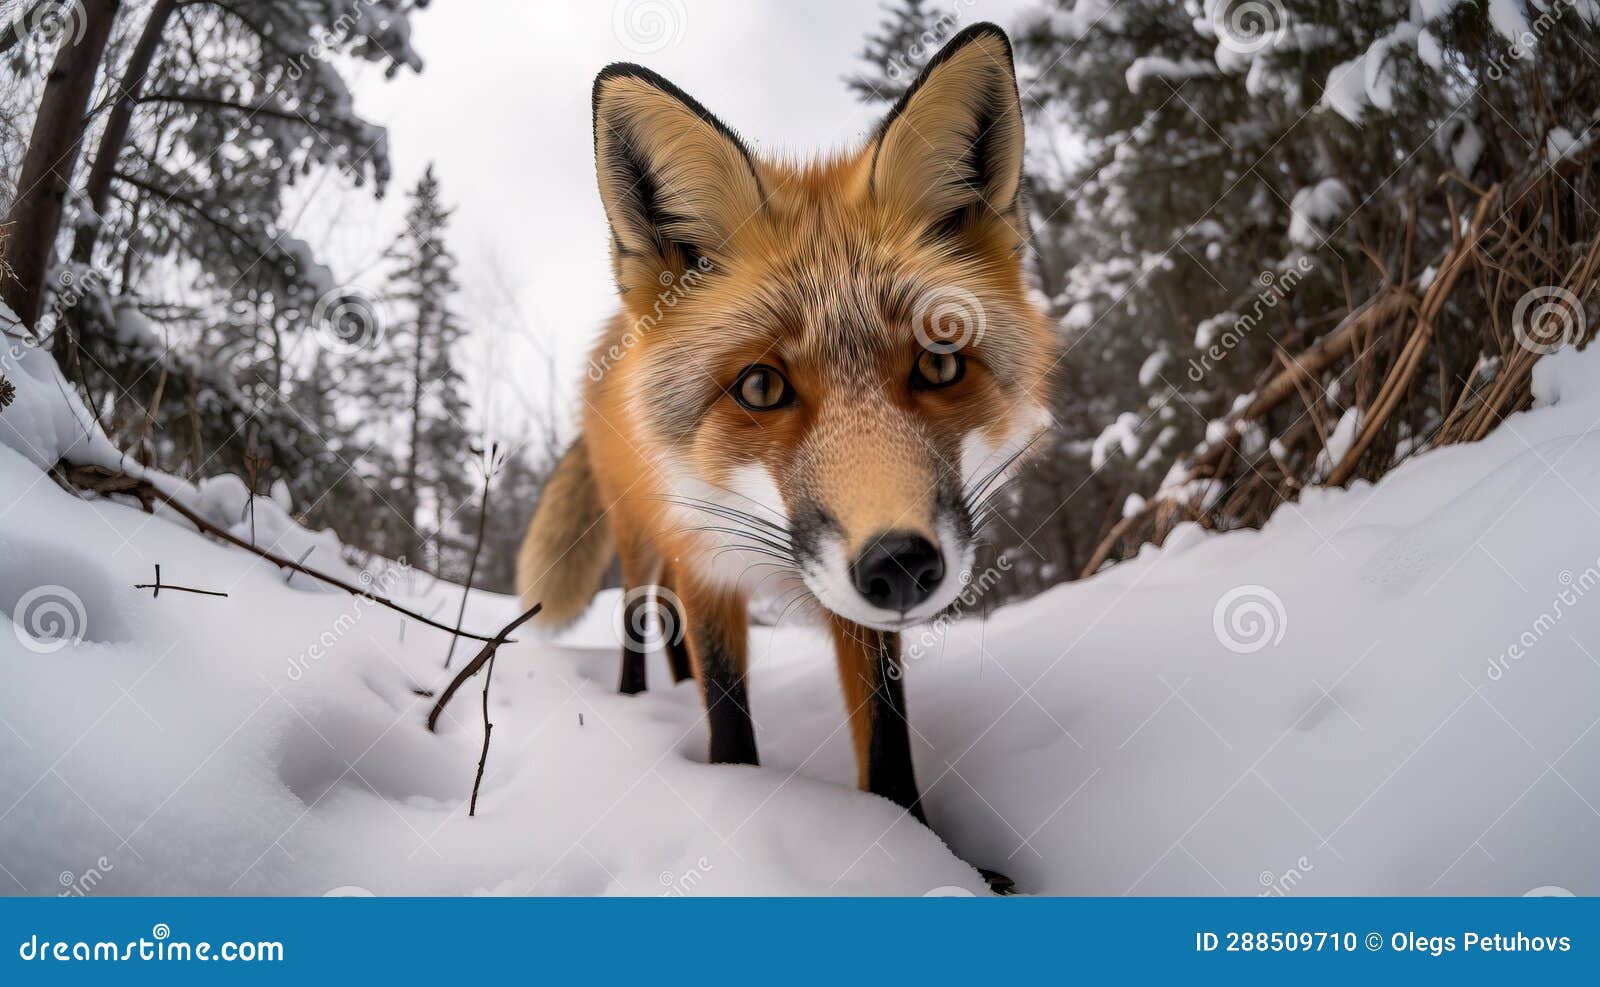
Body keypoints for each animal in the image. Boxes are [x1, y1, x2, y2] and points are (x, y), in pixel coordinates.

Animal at [518, 23, 1054, 839]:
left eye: (938, 365)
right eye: (761, 387)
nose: (900, 563)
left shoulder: (855, 607)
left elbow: (887, 733)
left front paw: (910, 839)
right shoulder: (708, 559)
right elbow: (729, 716)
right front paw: (734, 793)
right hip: (640, 534)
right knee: (641, 608)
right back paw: (641, 696)